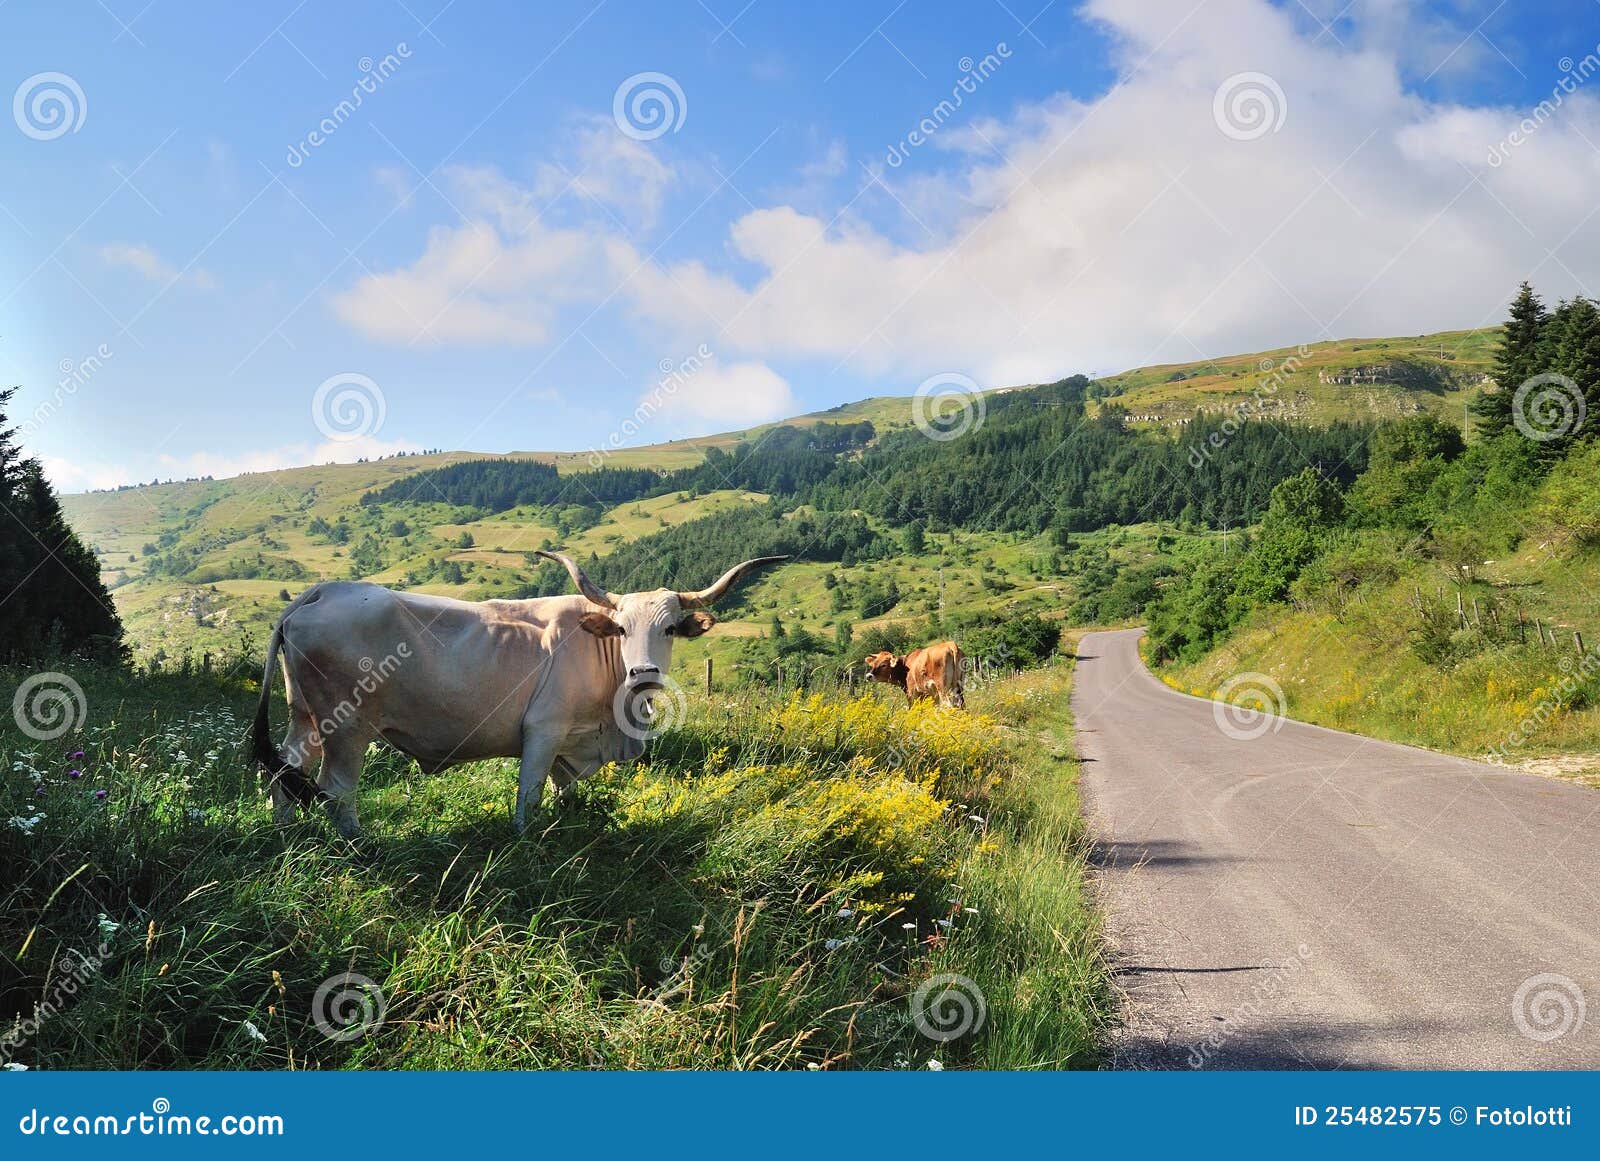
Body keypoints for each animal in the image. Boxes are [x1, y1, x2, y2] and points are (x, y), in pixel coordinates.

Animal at [252, 550, 787, 837]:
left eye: (671, 628)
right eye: (620, 628)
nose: (643, 672)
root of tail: (324, 590)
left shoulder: (571, 745)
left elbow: (565, 792)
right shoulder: (543, 733)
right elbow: (529, 795)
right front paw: (525, 840)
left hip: (306, 717)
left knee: (285, 770)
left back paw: (285, 835)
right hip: (347, 729)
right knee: (337, 789)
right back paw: (358, 846)